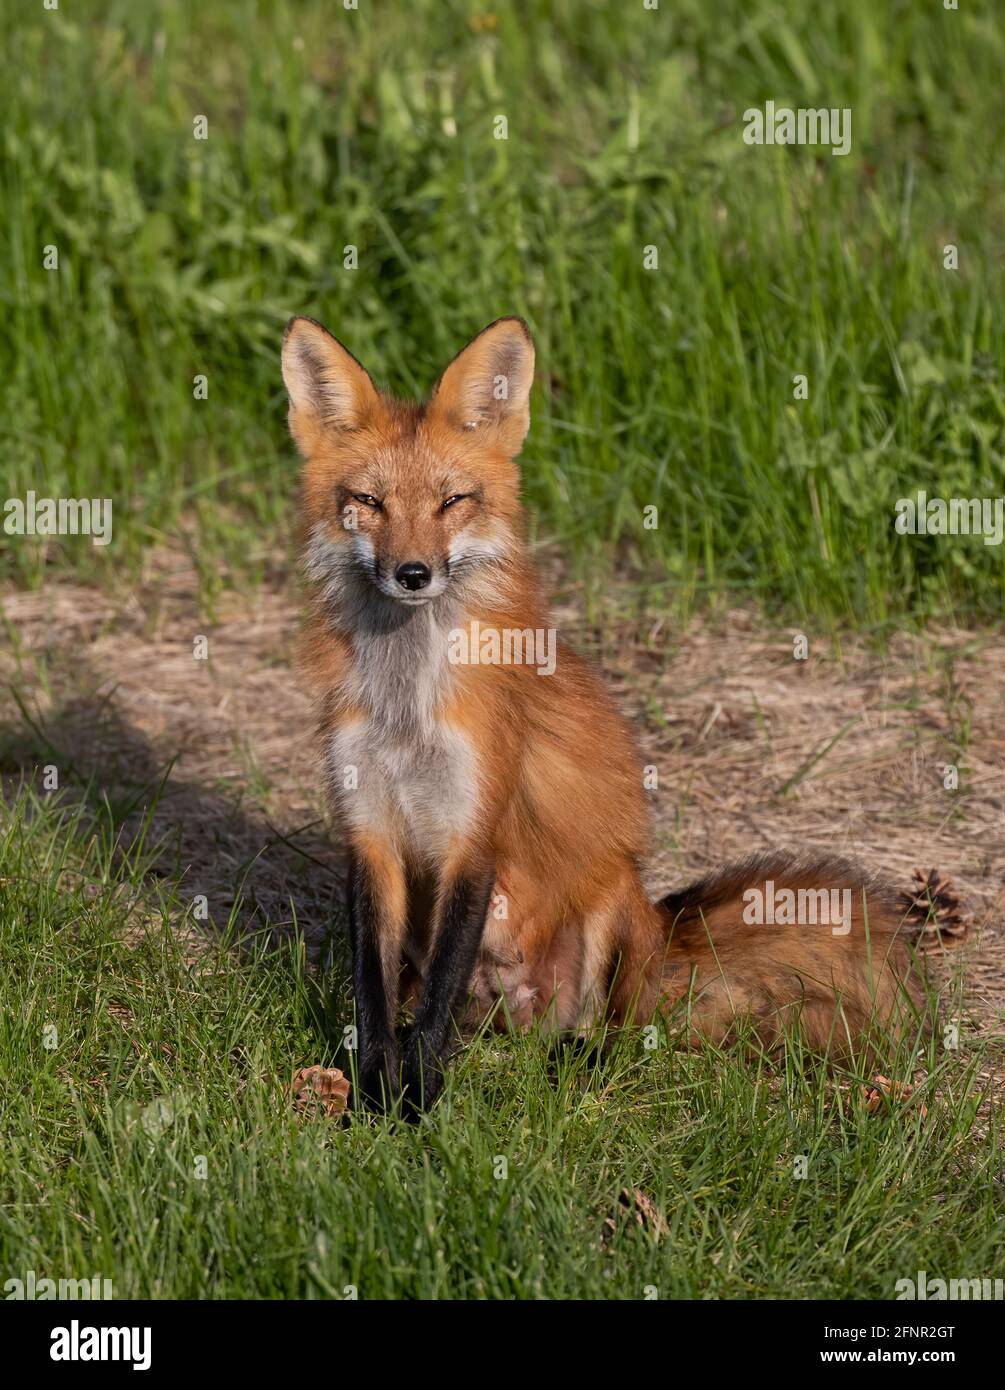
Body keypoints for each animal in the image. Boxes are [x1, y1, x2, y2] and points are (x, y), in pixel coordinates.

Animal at [281, 313, 928, 1113]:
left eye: (451, 501)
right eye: (369, 502)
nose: (413, 574)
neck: (407, 708)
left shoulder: (474, 831)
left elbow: (435, 1005)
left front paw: (420, 1102)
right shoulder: (369, 827)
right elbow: (374, 997)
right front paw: (375, 1091)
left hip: (613, 903)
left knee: (624, 1037)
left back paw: (579, 1059)